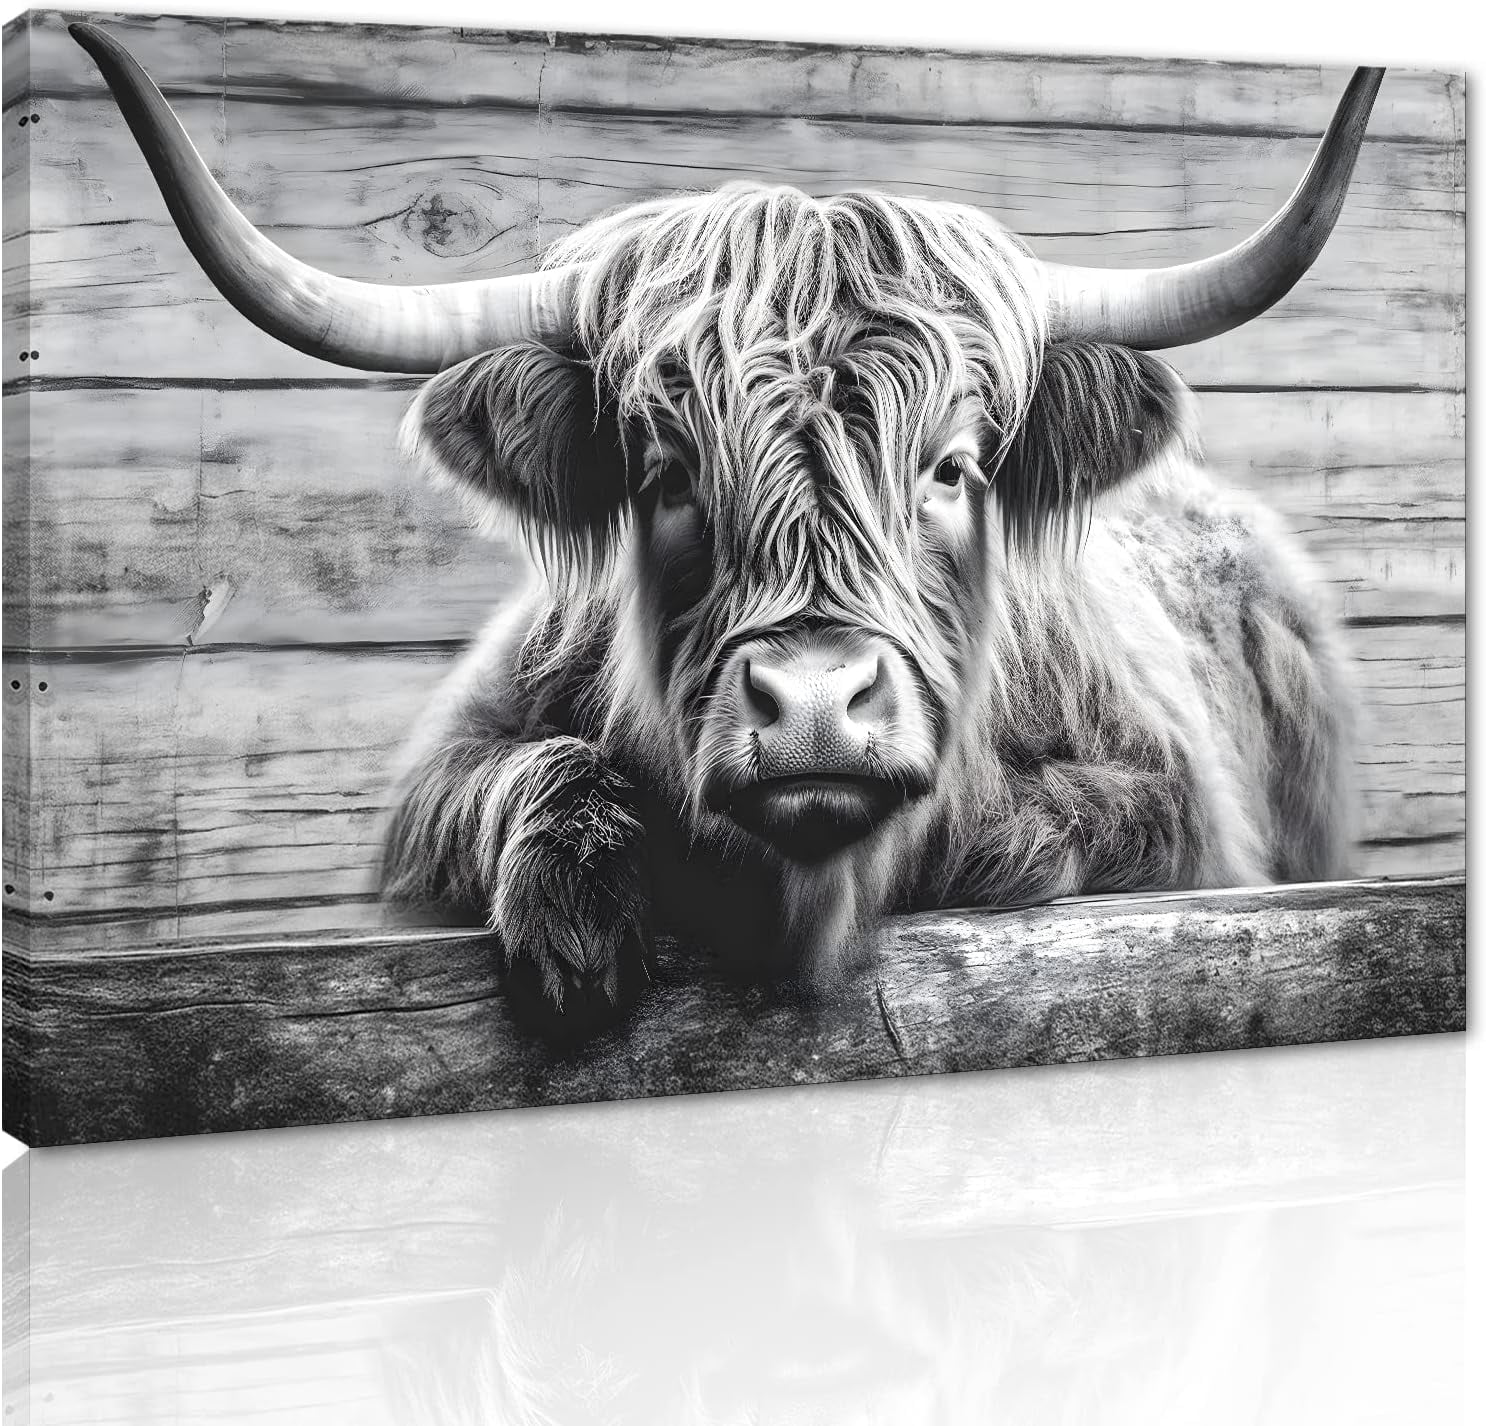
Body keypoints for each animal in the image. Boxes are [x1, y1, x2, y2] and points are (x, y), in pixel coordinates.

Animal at [75, 25, 1378, 1030]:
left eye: (952, 466)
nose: (814, 706)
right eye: (665, 471)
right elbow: (526, 769)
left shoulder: (1177, 809)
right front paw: (579, 921)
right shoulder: (439, 785)